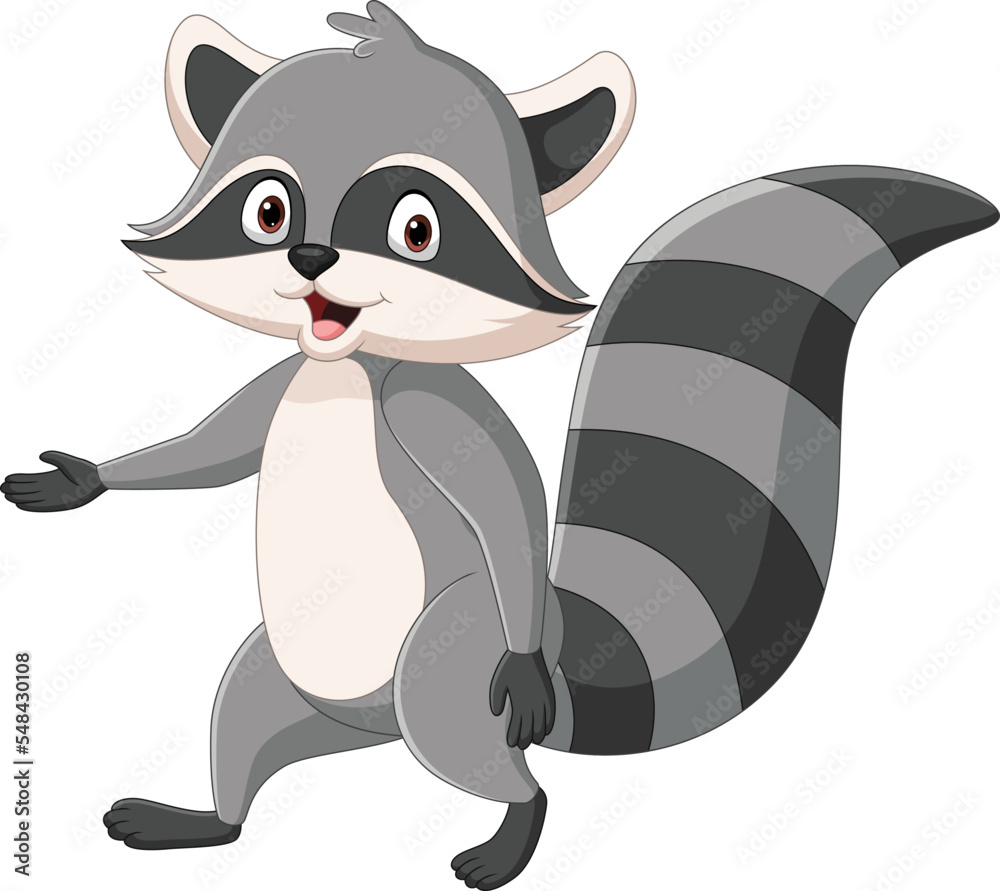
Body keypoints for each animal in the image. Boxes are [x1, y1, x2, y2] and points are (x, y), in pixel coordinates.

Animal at [3, 4, 997, 888]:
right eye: (268, 210)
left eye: (416, 227)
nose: (311, 258)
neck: (348, 367)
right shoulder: (290, 378)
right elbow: (214, 449)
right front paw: (87, 477)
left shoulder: (428, 408)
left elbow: (499, 504)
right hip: (291, 675)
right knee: (242, 709)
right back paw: (211, 817)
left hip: (450, 648)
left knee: (457, 716)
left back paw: (517, 816)